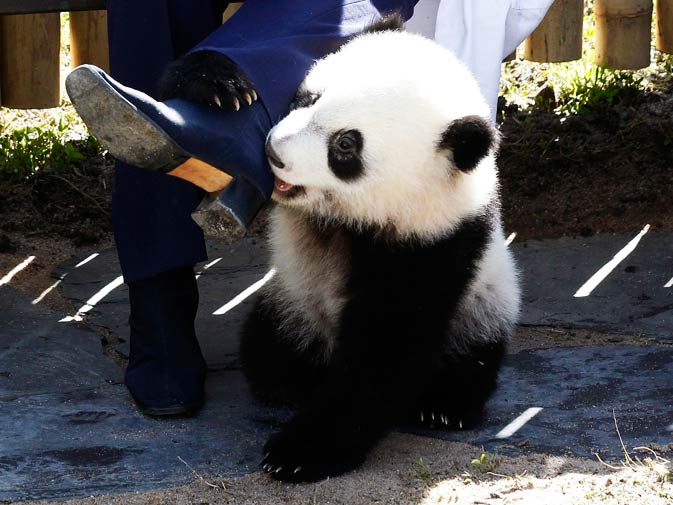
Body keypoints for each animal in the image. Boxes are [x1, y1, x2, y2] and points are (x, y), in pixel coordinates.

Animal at [239, 13, 520, 483]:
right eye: (308, 98)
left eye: (345, 145)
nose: (273, 153)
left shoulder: (437, 241)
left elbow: (386, 348)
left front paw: (300, 451)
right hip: (291, 302)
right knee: (271, 340)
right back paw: (285, 378)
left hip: (486, 303)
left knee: (475, 352)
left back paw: (446, 405)